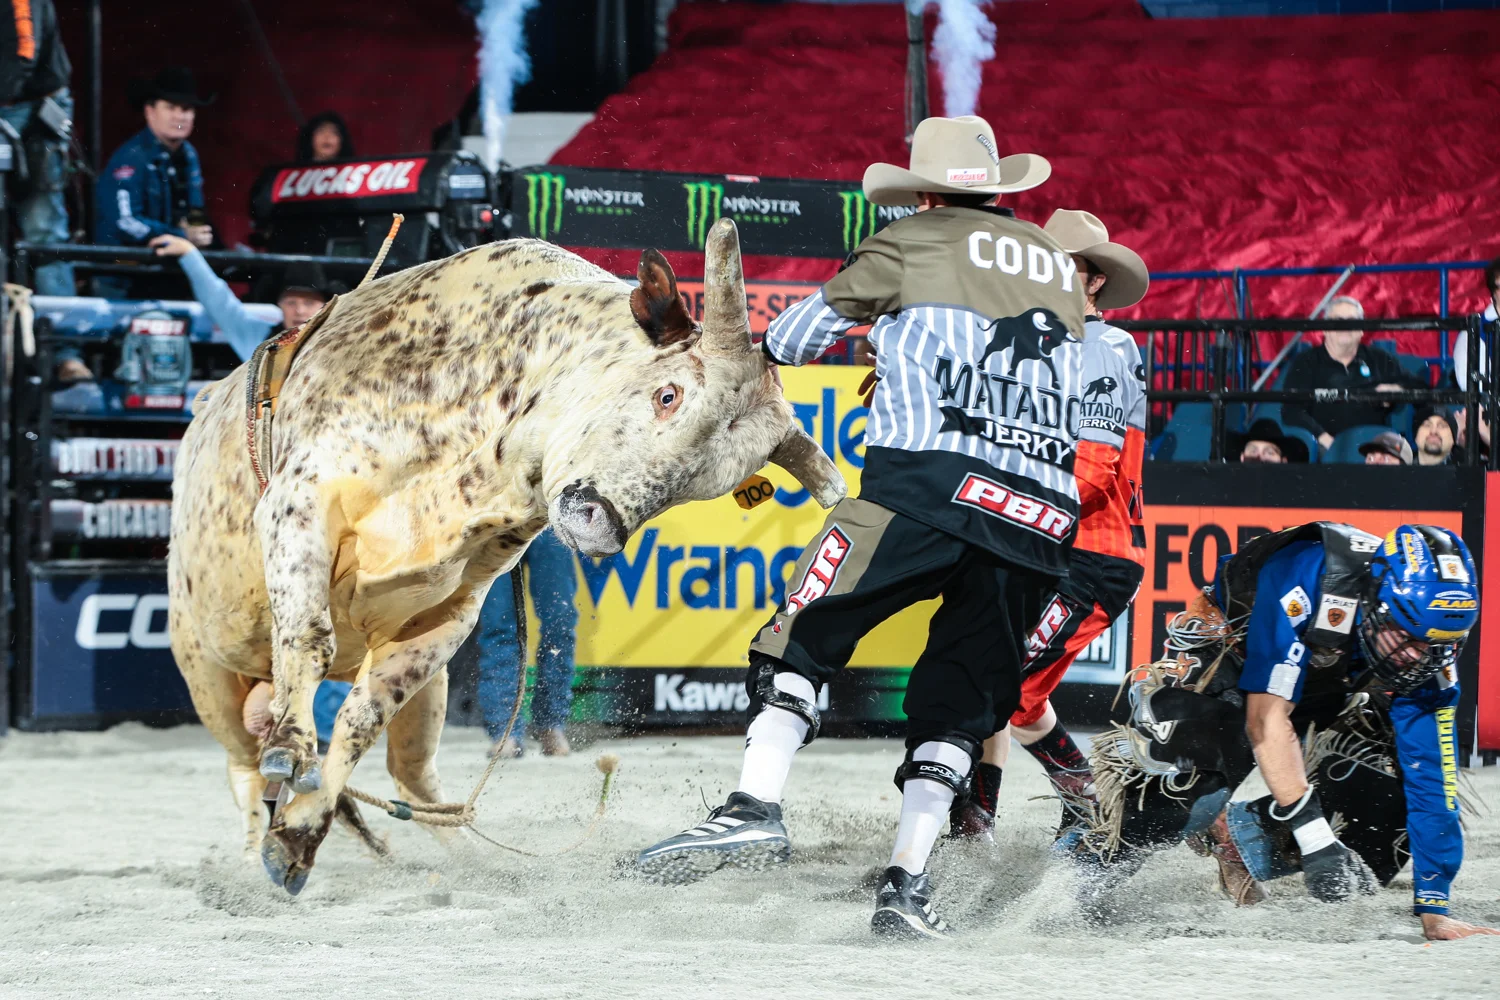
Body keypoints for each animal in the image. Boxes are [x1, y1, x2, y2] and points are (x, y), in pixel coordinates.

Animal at [167, 219, 845, 894]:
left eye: (706, 480)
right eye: (668, 395)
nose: (598, 521)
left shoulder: (448, 615)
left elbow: (362, 717)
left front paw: (301, 833)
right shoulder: (298, 505)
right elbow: (308, 641)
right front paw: (291, 752)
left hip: (431, 695)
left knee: (413, 779)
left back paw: (467, 856)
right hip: (203, 666)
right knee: (244, 764)